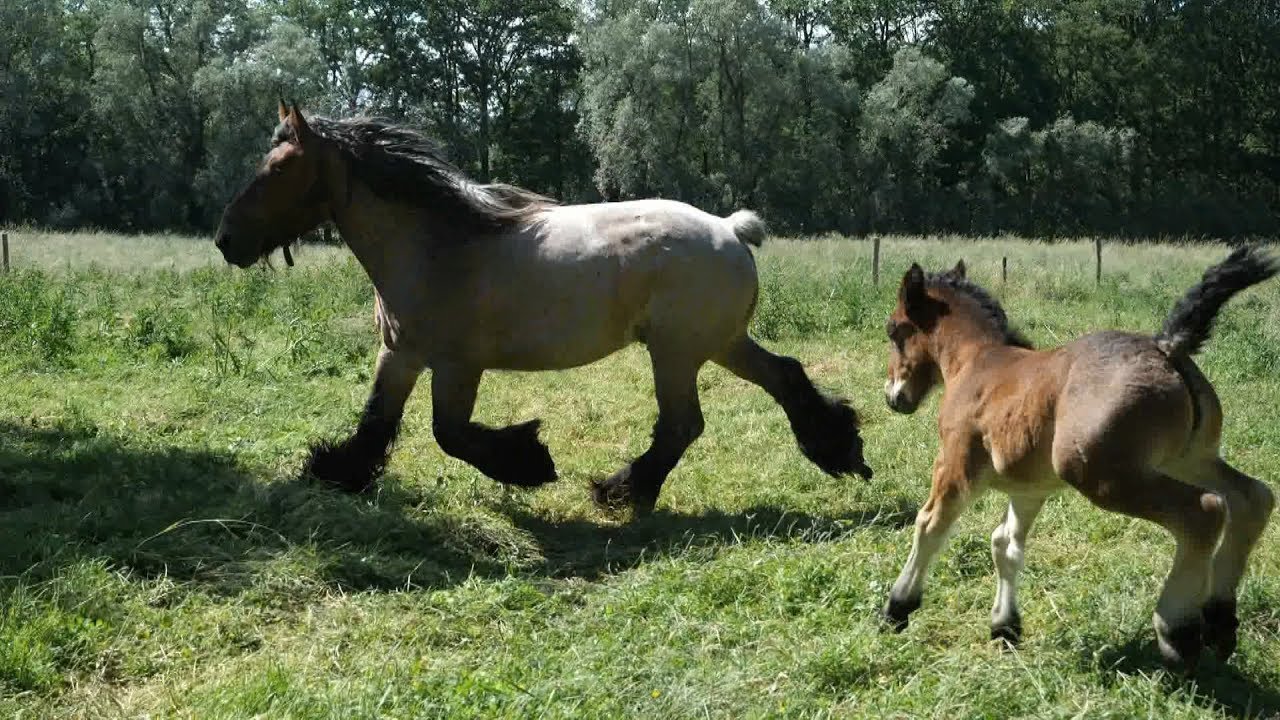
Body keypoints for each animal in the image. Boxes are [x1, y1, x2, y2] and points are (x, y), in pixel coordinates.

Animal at [213, 102, 872, 514]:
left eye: (280, 169)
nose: (225, 240)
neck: (435, 246)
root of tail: (732, 230)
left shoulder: (456, 366)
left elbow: (451, 435)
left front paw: (530, 461)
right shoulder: (399, 354)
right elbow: (375, 424)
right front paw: (333, 473)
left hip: (678, 353)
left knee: (683, 425)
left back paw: (620, 491)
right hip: (718, 343)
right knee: (784, 377)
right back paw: (841, 452)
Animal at [879, 248, 1276, 669]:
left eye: (894, 330)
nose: (894, 397)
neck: (977, 363)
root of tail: (1166, 347)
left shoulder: (957, 465)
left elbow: (930, 525)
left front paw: (897, 608)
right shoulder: (1029, 488)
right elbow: (1006, 545)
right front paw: (1004, 628)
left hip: (1102, 475)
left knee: (1205, 511)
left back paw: (1177, 631)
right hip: (1187, 459)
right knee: (1252, 497)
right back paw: (1220, 618)